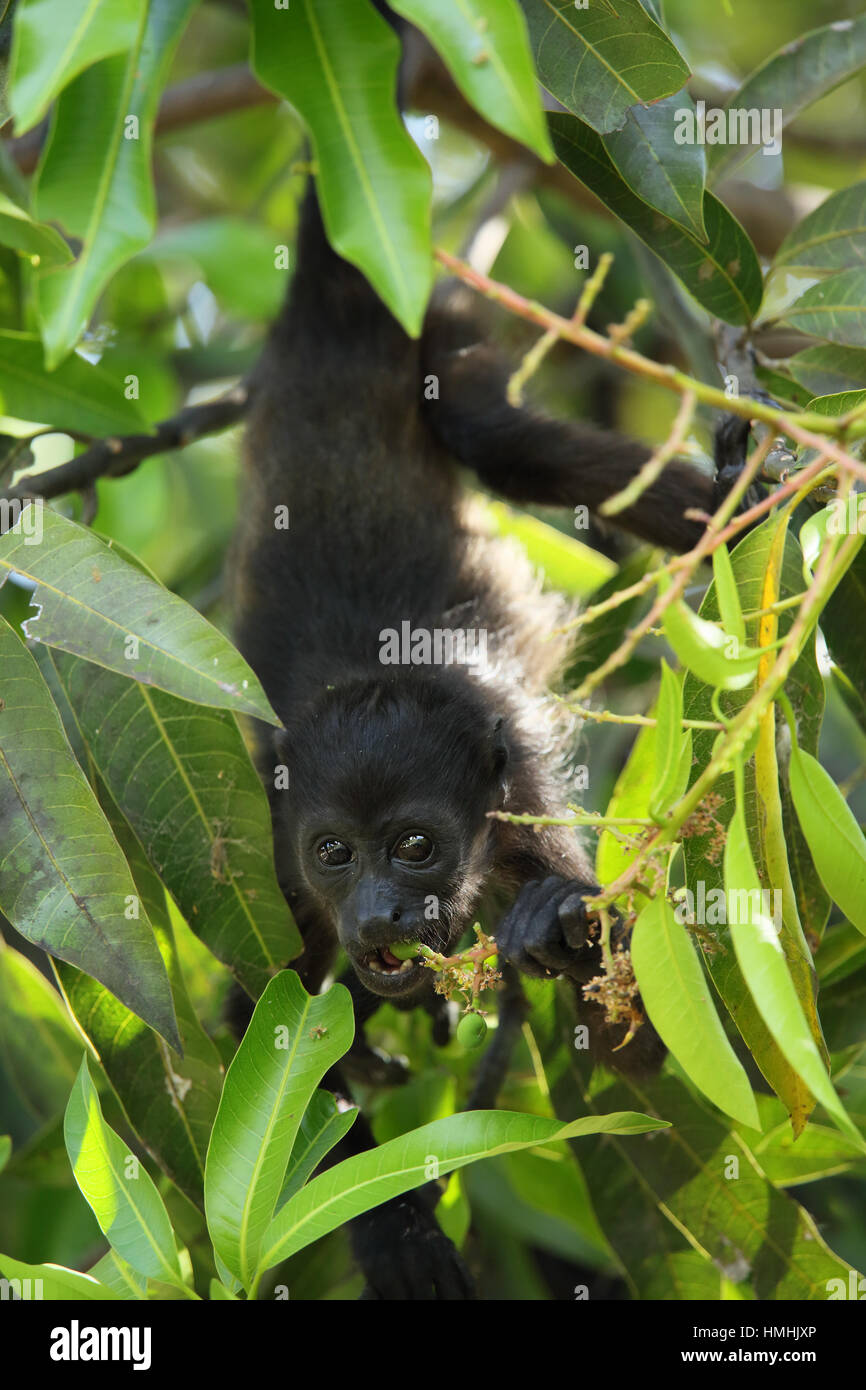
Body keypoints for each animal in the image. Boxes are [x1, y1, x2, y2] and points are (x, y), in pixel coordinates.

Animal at [228, 180, 763, 1298]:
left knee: (494, 435)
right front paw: (395, 1234)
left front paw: (565, 932)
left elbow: (645, 1058)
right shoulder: (274, 858)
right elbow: (261, 1025)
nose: (380, 912)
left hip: (441, 330)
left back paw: (742, 497)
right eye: (334, 852)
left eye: (415, 846)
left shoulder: (519, 803)